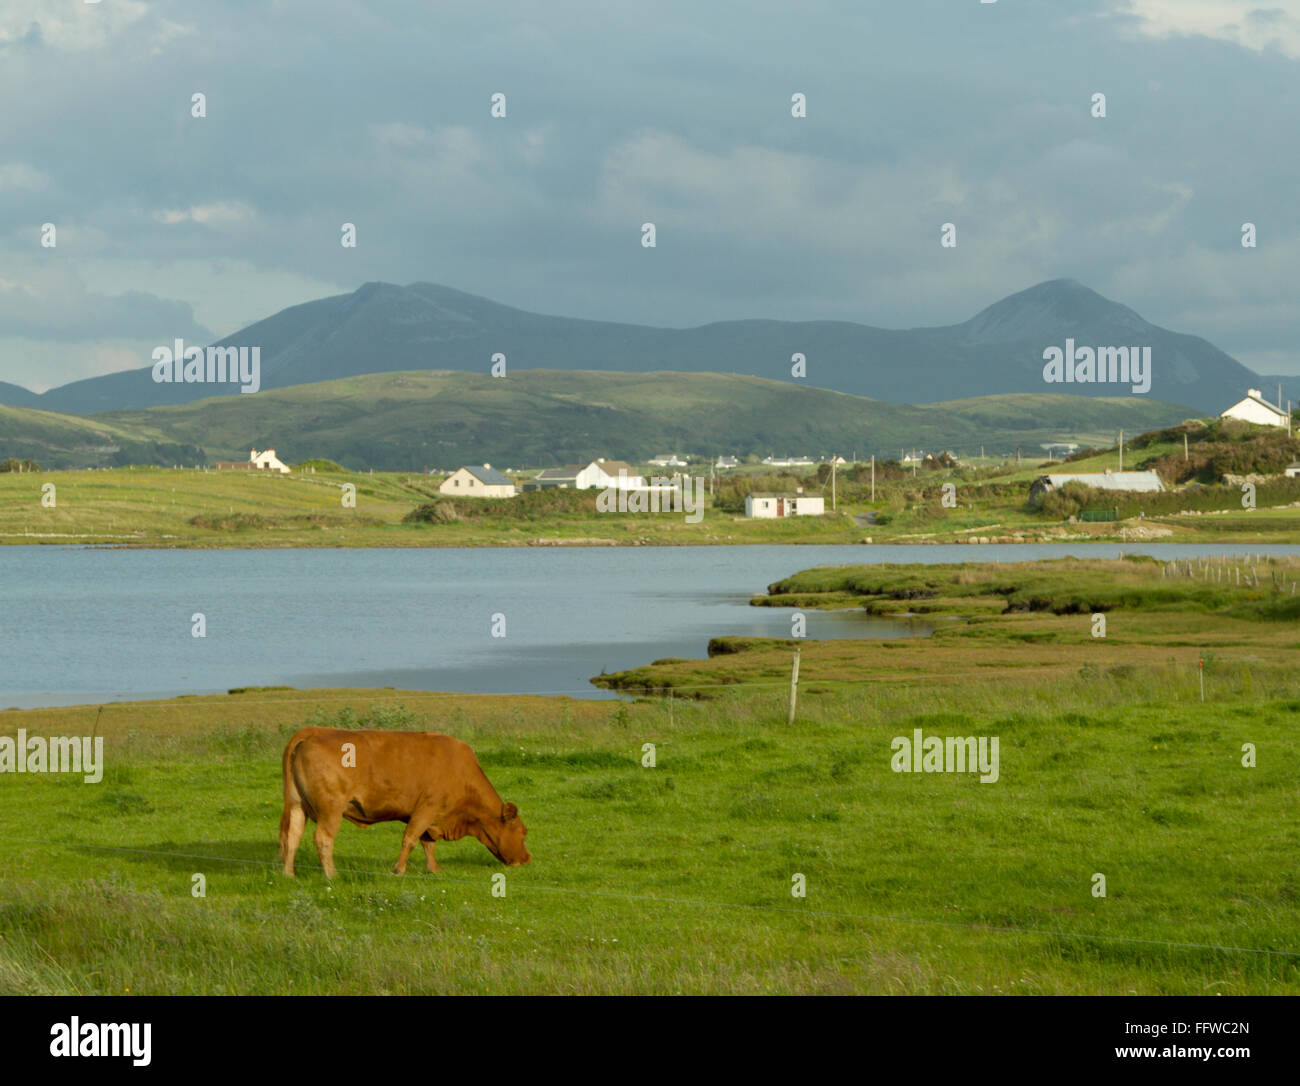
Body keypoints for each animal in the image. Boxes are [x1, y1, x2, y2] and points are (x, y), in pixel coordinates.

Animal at [279, 727, 530, 878]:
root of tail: (313, 733)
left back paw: (289, 873)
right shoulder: (426, 809)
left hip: (297, 806)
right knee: (323, 839)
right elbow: (410, 839)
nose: (527, 858)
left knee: (292, 836)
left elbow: (427, 843)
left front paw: (434, 870)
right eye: (523, 832)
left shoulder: (430, 817)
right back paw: (332, 875)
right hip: (331, 809)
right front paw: (399, 870)